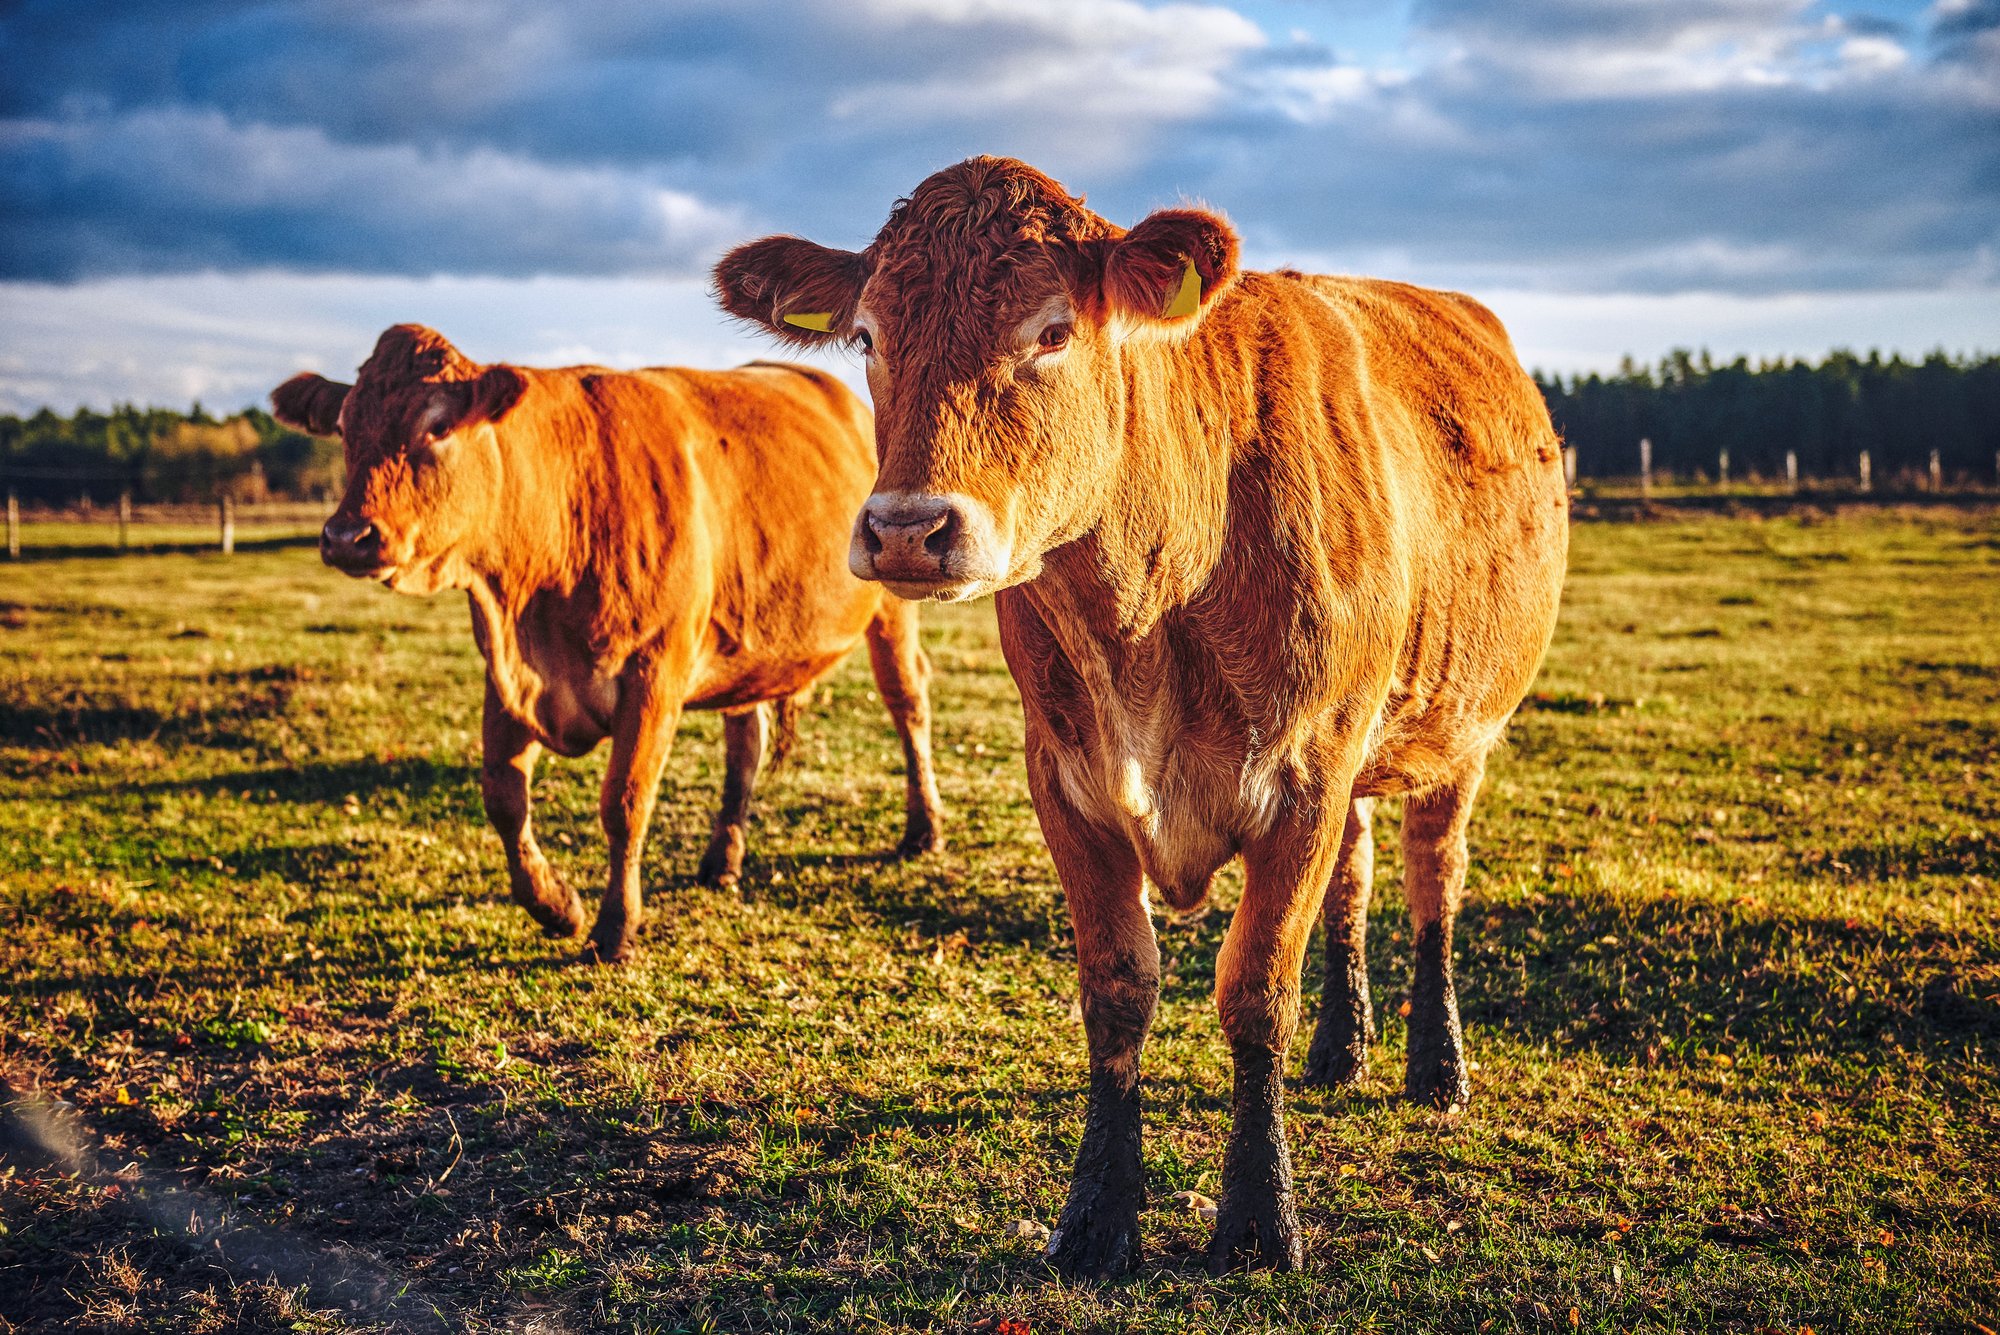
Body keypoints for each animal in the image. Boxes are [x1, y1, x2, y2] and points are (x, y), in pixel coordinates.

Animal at [271, 325, 945, 964]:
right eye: (344, 426)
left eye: (435, 426)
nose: (347, 536)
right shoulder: (506, 676)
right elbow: (503, 798)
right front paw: (556, 905)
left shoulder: (654, 671)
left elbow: (625, 801)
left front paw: (615, 928)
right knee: (745, 741)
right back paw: (722, 858)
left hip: (892, 609)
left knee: (908, 702)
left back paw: (923, 830)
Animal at [714, 158, 1568, 1276]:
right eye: (866, 336)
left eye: (1051, 331)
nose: (906, 529)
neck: (1150, 602)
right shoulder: (1066, 781)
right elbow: (1118, 985)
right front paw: (1098, 1212)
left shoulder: (1303, 778)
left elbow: (1256, 989)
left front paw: (1258, 1217)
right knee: (1358, 871)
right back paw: (1343, 1047)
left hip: (1460, 730)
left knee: (1434, 877)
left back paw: (1436, 1064)